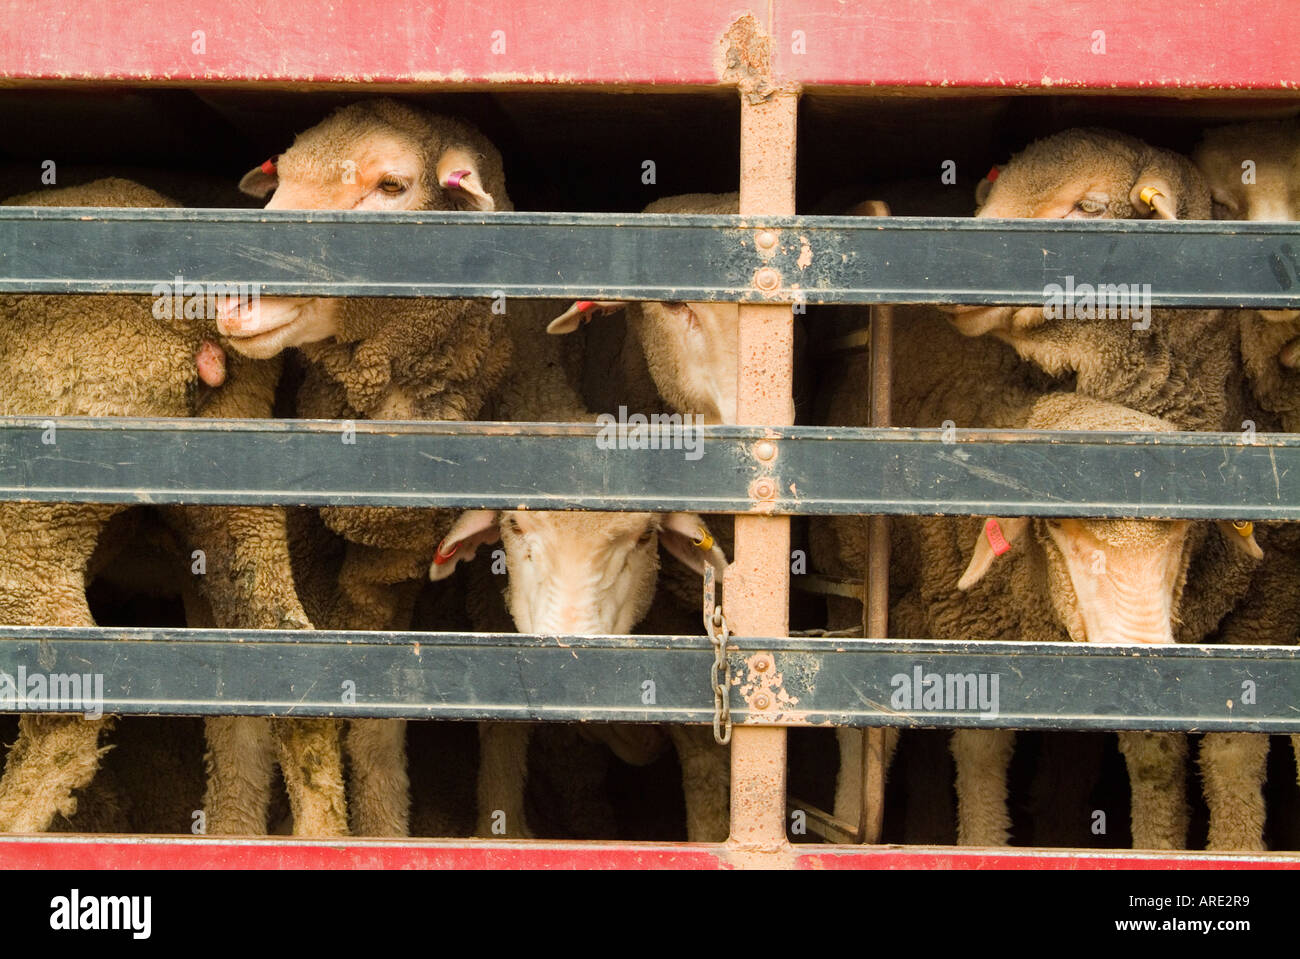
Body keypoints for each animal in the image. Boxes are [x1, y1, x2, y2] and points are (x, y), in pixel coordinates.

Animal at [0, 178, 343, 834]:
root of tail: (198, 314)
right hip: (235, 477)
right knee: (286, 645)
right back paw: (324, 837)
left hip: (35, 506)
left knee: (63, 707)